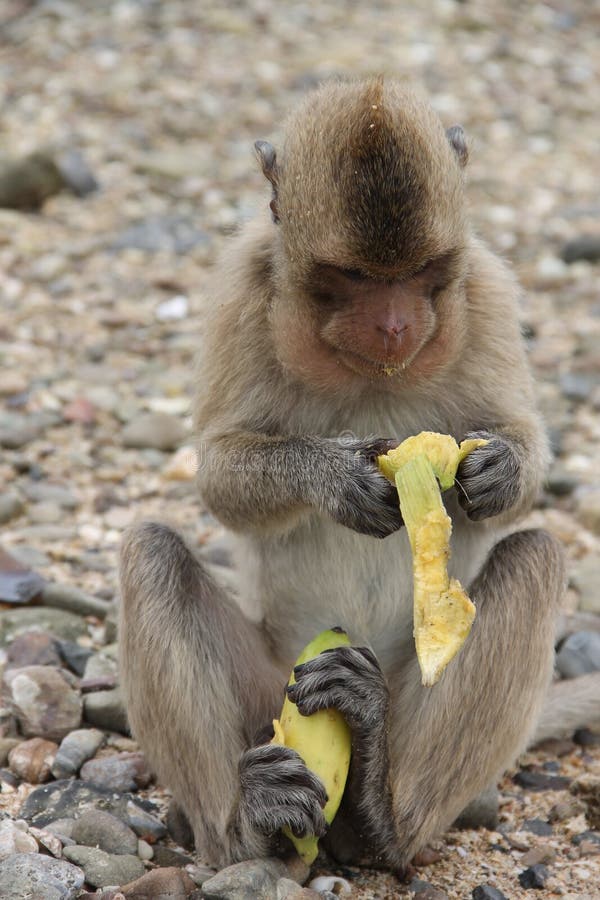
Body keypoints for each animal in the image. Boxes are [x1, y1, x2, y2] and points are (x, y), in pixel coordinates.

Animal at [119, 79, 598, 872]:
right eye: (351, 278)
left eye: (420, 274)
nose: (394, 325)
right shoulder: (242, 286)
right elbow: (217, 474)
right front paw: (334, 476)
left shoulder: (487, 288)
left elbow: (522, 444)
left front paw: (498, 471)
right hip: (270, 685)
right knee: (152, 552)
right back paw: (245, 828)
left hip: (405, 688)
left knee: (534, 558)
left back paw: (382, 815)